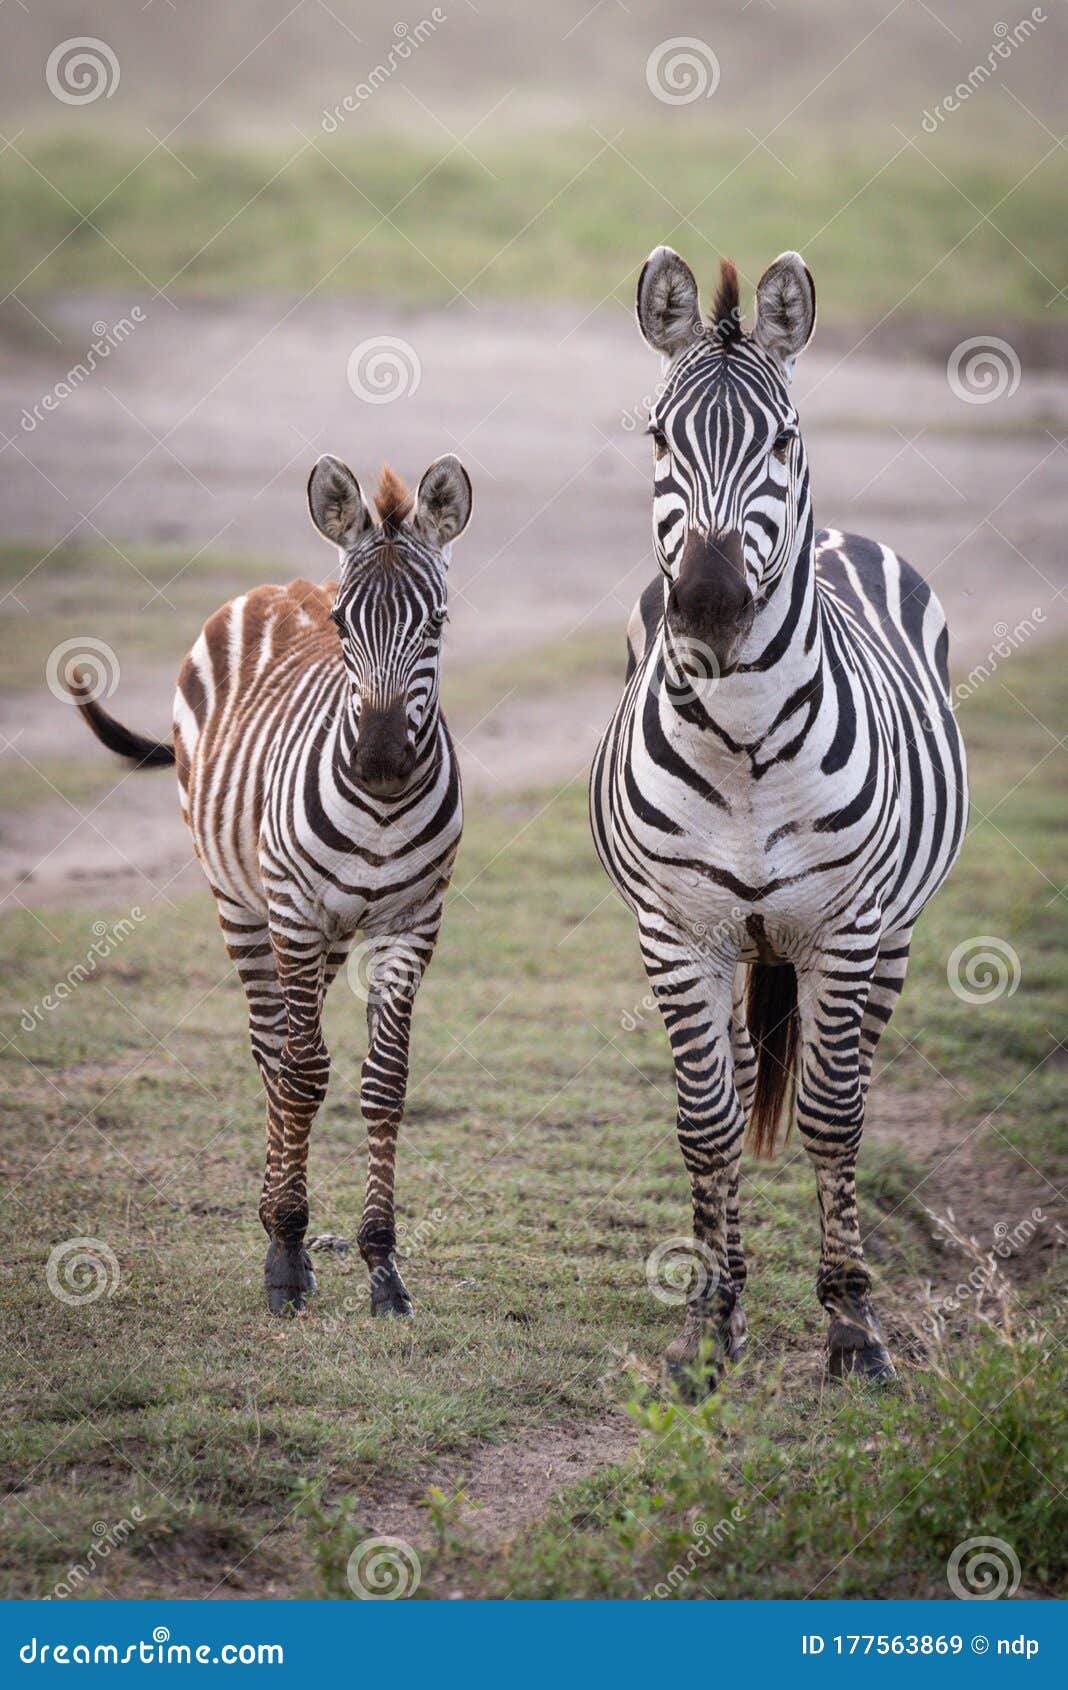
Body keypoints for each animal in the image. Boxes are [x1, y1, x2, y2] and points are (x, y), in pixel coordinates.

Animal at [69, 453, 472, 1318]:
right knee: (274, 1050)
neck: (381, 809)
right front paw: (286, 1251)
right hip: (247, 907)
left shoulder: (413, 924)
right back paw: (273, 1220)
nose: (380, 762)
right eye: (345, 626)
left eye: (436, 626)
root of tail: (278, 586)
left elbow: (384, 1082)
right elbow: (304, 1071)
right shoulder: (292, 911)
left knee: (288, 1045)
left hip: (325, 937)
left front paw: (382, 1266)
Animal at [590, 247, 967, 1390]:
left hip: (890, 936)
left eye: (783, 441)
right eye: (659, 438)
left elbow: (833, 1119)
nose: (709, 606)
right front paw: (708, 1327)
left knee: (848, 1089)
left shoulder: (844, 932)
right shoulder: (677, 935)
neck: (746, 736)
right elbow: (707, 1124)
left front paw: (852, 1325)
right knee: (745, 1077)